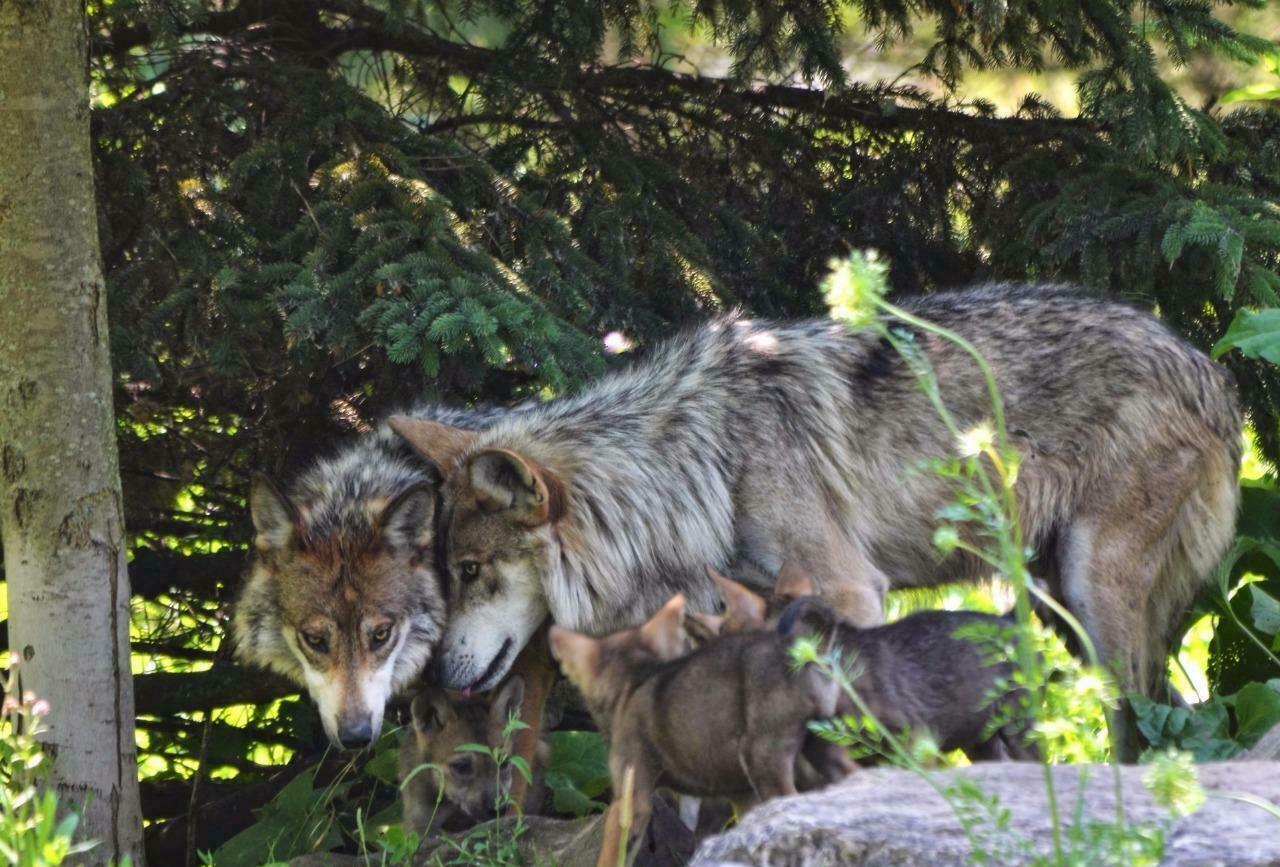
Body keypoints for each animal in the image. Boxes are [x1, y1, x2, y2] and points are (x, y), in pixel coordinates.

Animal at [390, 284, 1240, 760]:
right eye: (447, 572)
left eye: (470, 571)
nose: (432, 679)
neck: (697, 462)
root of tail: (1216, 374)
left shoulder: (851, 591)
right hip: (1050, 597)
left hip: (1092, 595)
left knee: (1138, 715)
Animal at [549, 594, 846, 867]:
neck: (636, 678)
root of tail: (799, 650)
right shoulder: (741, 794)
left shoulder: (631, 797)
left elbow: (612, 856)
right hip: (825, 751)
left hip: (766, 763)